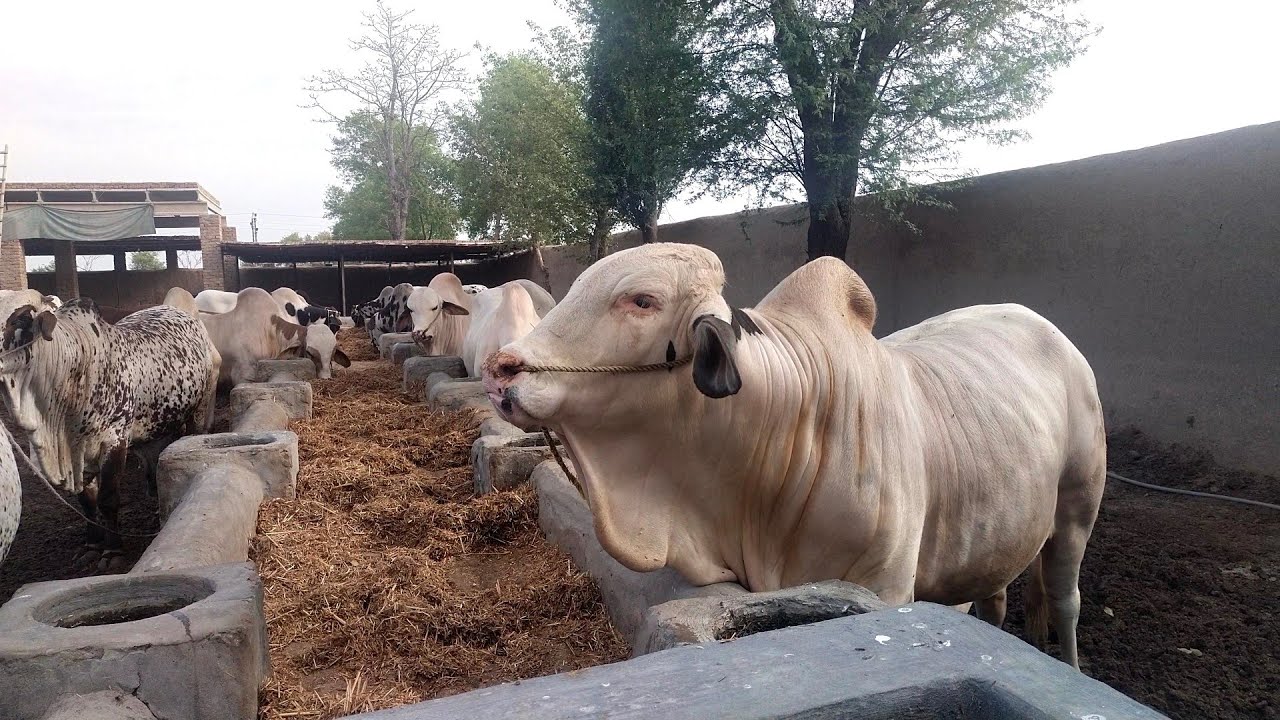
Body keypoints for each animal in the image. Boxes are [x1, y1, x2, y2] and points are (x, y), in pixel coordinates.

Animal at [0, 297, 219, 571]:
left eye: (17, 328)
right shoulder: (78, 455)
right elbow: (87, 500)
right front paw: (93, 545)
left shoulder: (114, 441)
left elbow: (107, 499)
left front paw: (113, 550)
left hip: (198, 410)